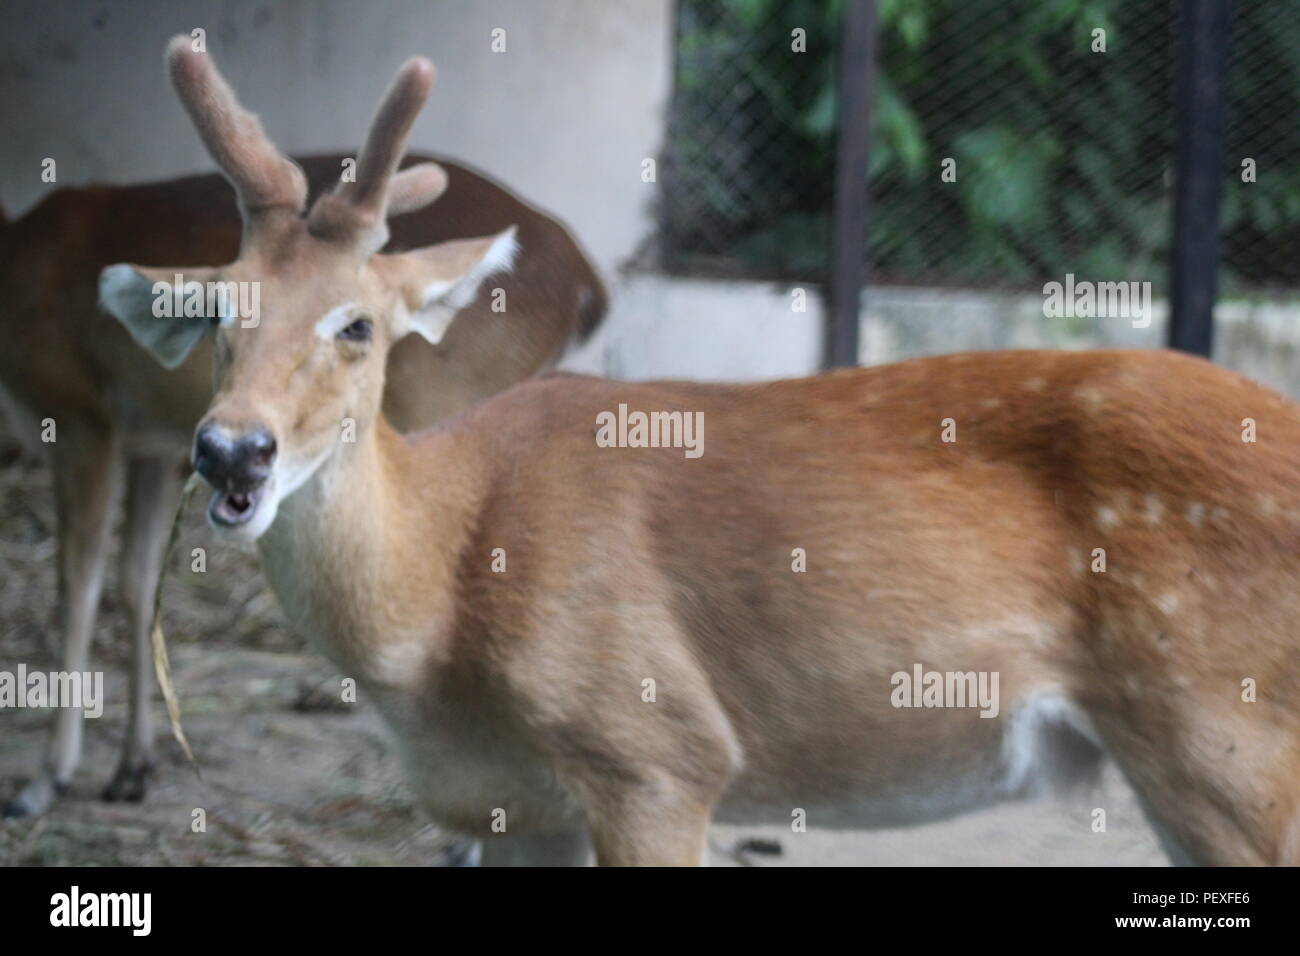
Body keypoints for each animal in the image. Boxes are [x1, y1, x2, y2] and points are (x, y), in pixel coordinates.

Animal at [0, 63, 605, 819]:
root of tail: (589, 282)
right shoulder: (155, 442)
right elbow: (136, 586)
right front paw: (133, 767)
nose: (231, 451)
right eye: (216, 310)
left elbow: (75, 588)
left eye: (355, 323)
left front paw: (44, 780)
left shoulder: (80, 413)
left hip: (451, 397)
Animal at [100, 36, 1300, 866]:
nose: (232, 452)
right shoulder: (505, 803)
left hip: (1227, 726)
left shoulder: (657, 751)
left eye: (356, 324)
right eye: (217, 314)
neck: (440, 597)